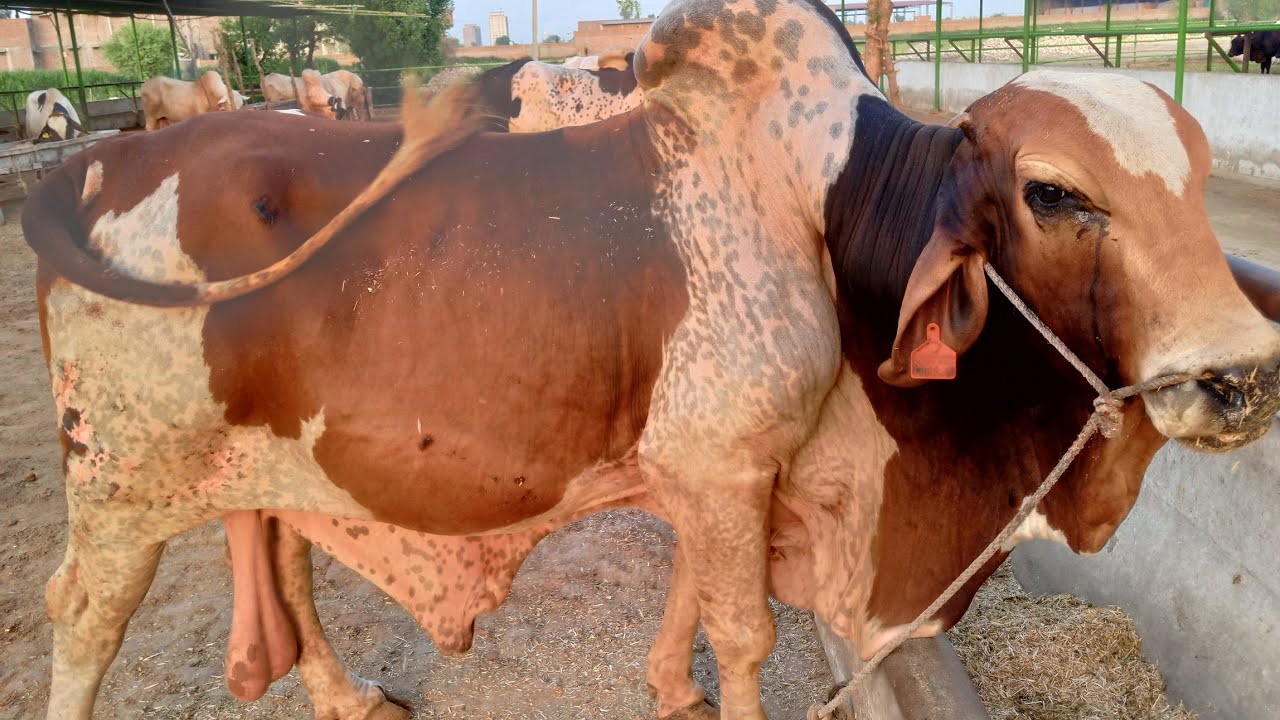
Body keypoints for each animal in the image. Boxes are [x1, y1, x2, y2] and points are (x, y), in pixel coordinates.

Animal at [20, 1, 1280, 719]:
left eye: (1196, 167)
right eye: (1052, 193)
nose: (1241, 373)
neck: (829, 220)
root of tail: (92, 165)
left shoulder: (713, 471)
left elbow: (689, 597)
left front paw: (671, 690)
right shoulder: (725, 467)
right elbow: (746, 631)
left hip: (262, 462)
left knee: (279, 556)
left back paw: (346, 697)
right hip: (121, 486)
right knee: (80, 613)